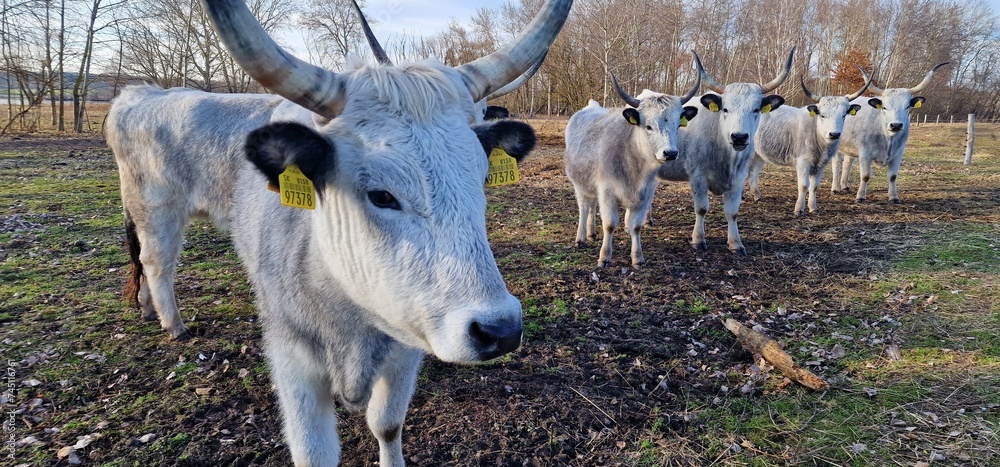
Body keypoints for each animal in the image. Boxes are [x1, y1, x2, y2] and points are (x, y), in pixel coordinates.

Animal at [112, 1, 571, 465]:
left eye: (481, 179)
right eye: (381, 194)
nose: (500, 331)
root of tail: (141, 95)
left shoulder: (405, 344)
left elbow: (387, 424)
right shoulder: (292, 359)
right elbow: (314, 451)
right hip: (157, 209)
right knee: (157, 262)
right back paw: (173, 324)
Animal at [564, 55, 702, 268]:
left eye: (678, 124)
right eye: (648, 126)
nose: (670, 153)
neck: (634, 164)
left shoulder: (645, 192)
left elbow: (635, 226)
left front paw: (637, 258)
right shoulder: (607, 191)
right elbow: (609, 224)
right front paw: (604, 257)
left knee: (592, 205)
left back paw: (591, 232)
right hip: (580, 184)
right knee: (584, 207)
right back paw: (581, 238)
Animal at [652, 49, 794, 255]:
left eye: (756, 109)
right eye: (725, 109)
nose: (739, 137)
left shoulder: (739, 177)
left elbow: (732, 212)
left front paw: (736, 243)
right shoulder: (698, 177)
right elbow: (701, 209)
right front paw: (698, 240)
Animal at [747, 71, 870, 216]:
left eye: (844, 115)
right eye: (822, 115)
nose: (834, 134)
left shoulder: (822, 164)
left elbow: (814, 186)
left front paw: (813, 207)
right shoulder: (802, 163)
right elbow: (803, 185)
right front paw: (799, 209)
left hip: (759, 155)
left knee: (753, 173)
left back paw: (757, 196)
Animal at [829, 62, 949, 202]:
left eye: (907, 107)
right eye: (885, 107)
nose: (896, 125)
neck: (887, 138)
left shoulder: (898, 154)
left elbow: (892, 176)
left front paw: (893, 197)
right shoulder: (865, 154)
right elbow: (865, 176)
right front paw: (860, 197)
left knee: (848, 163)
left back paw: (845, 186)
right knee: (836, 164)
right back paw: (835, 188)